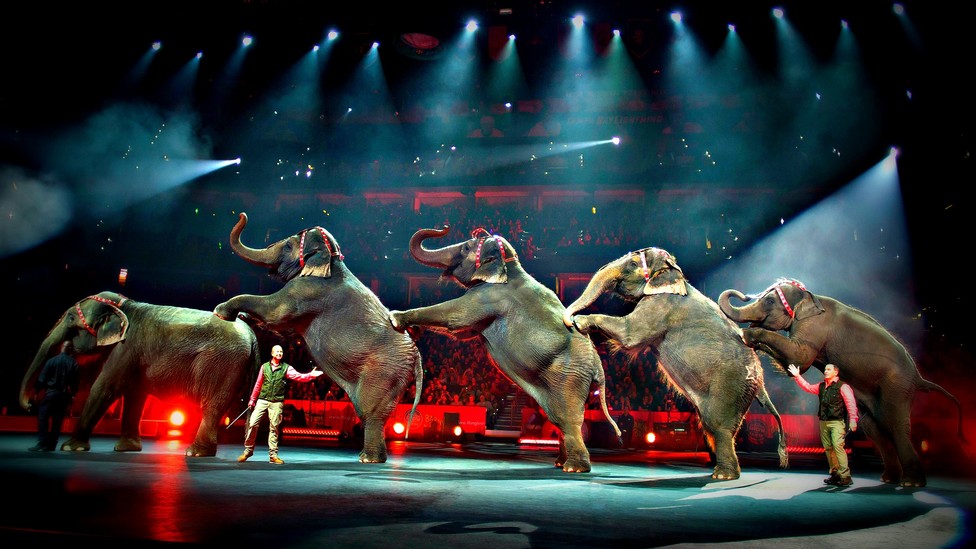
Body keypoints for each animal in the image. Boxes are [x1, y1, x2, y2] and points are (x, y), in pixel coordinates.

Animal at [21, 291, 261, 457]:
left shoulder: (126, 347)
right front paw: (127, 449)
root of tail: (252, 336)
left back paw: (195, 453)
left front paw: (71, 448)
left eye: (71, 318)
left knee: (211, 406)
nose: (31, 404)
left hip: (222, 364)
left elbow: (105, 387)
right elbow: (135, 394)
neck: (125, 306)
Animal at [213, 212, 423, 463]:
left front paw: (221, 311)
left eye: (288, 245)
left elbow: (275, 312)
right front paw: (243, 317)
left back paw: (368, 459)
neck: (333, 260)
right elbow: (283, 330)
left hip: (385, 372)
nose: (242, 215)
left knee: (371, 412)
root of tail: (417, 356)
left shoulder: (307, 291)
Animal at [388, 225, 620, 473]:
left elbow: (455, 318)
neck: (510, 267)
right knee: (558, 418)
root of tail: (598, 366)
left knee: (566, 417)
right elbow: (463, 332)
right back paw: (560, 463)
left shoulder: (489, 297)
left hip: (570, 376)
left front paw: (396, 317)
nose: (445, 227)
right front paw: (413, 330)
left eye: (466, 248)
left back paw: (574, 468)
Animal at [562, 247, 788, 481]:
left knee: (718, 426)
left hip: (732, 384)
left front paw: (580, 321)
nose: (568, 318)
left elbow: (629, 333)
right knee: (709, 427)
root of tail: (760, 381)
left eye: (633, 264)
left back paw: (723, 475)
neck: (673, 274)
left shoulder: (661, 305)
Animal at [718, 277, 966, 487]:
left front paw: (748, 336)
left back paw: (911, 483)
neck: (811, 297)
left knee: (895, 425)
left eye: (769, 300)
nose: (743, 294)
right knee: (873, 427)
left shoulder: (815, 326)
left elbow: (800, 358)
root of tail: (918, 377)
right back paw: (888, 479)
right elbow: (795, 363)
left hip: (896, 386)